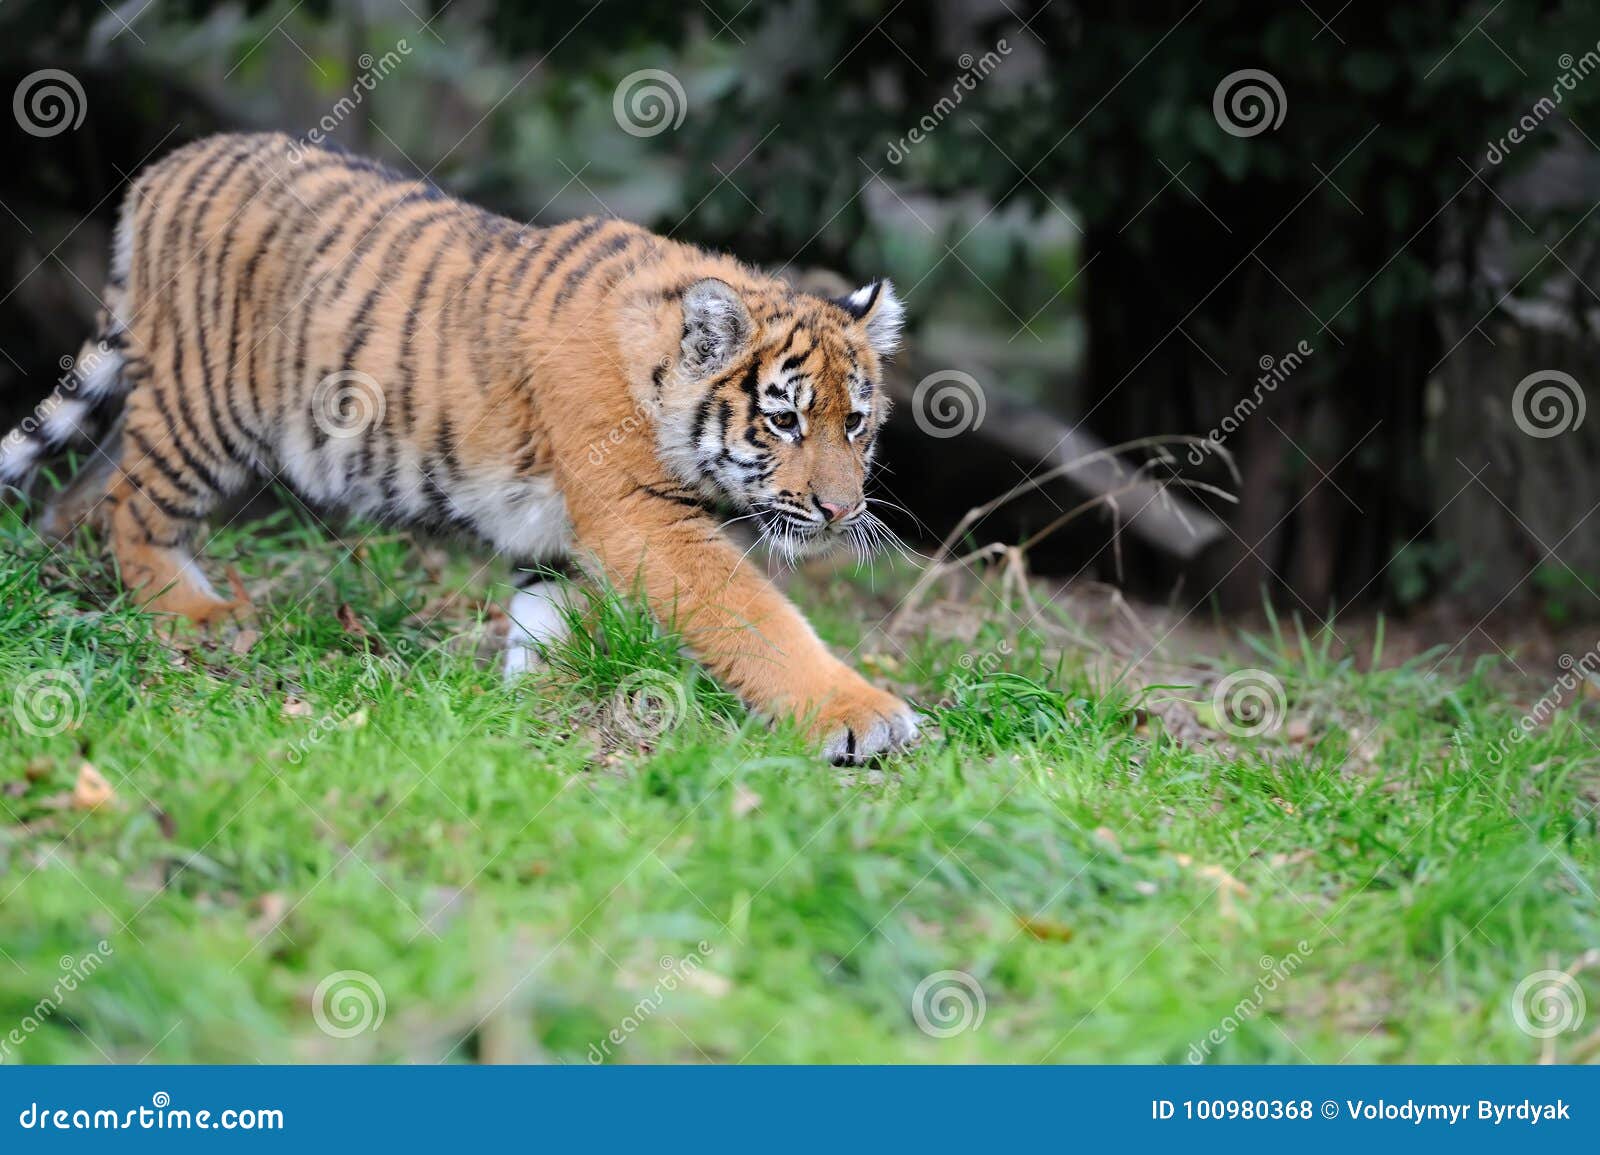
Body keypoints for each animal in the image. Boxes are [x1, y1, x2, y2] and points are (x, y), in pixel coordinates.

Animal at [0, 132, 920, 763]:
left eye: (855, 424)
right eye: (784, 421)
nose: (842, 511)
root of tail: (166, 166)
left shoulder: (560, 530)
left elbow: (548, 617)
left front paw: (539, 703)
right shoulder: (643, 518)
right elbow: (758, 619)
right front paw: (863, 717)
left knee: (88, 486)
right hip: (205, 411)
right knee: (132, 505)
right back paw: (192, 612)